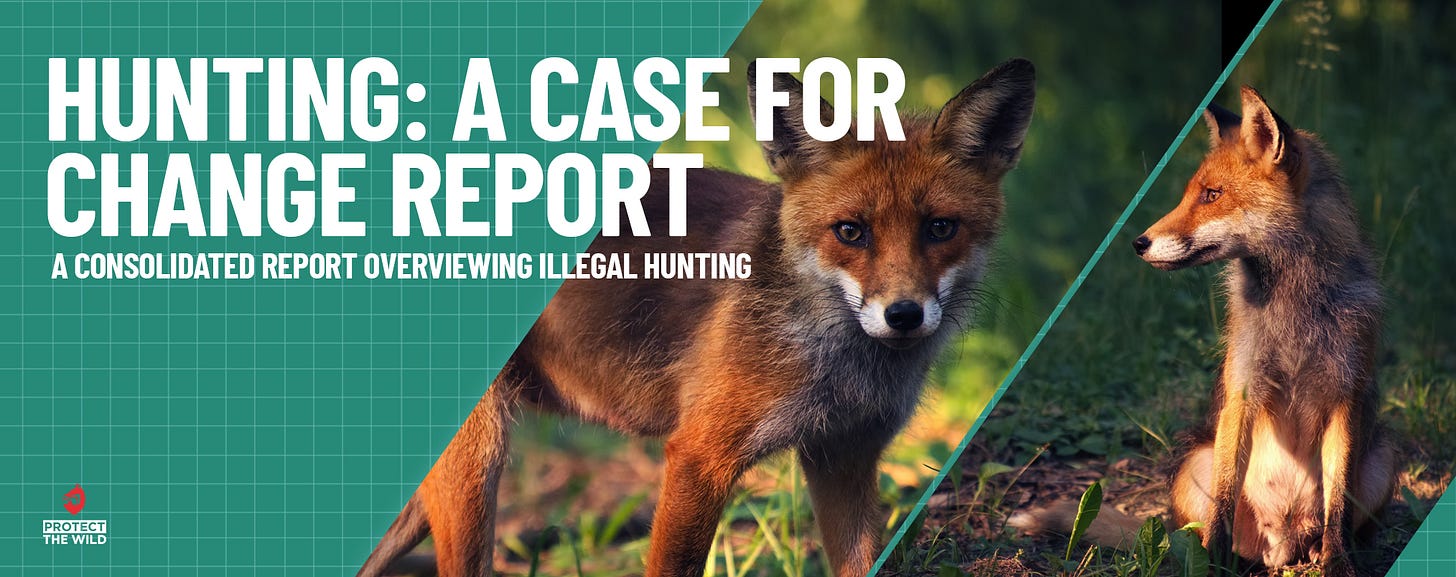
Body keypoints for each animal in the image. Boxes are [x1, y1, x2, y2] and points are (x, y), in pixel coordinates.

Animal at [357, 58, 1036, 577]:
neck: (840, 367)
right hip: (476, 466)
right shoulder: (699, 456)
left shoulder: (845, 457)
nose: (904, 315)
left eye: (940, 228)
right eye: (851, 232)